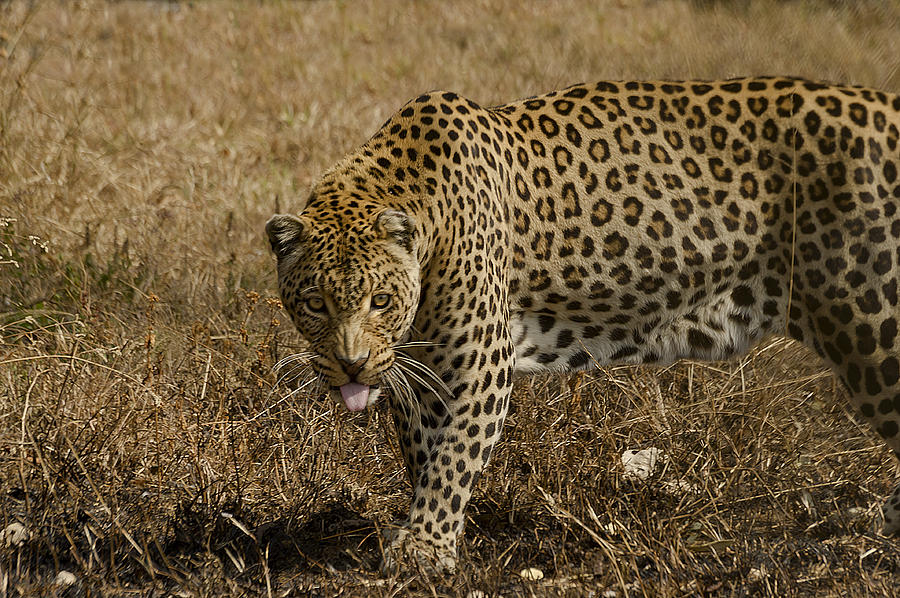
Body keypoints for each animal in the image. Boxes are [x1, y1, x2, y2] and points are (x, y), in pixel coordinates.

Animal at [265, 76, 900, 574]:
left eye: (379, 300)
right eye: (316, 303)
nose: (351, 365)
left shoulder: (481, 364)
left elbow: (453, 457)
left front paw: (425, 546)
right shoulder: (415, 371)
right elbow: (425, 454)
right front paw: (436, 536)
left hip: (874, 321)